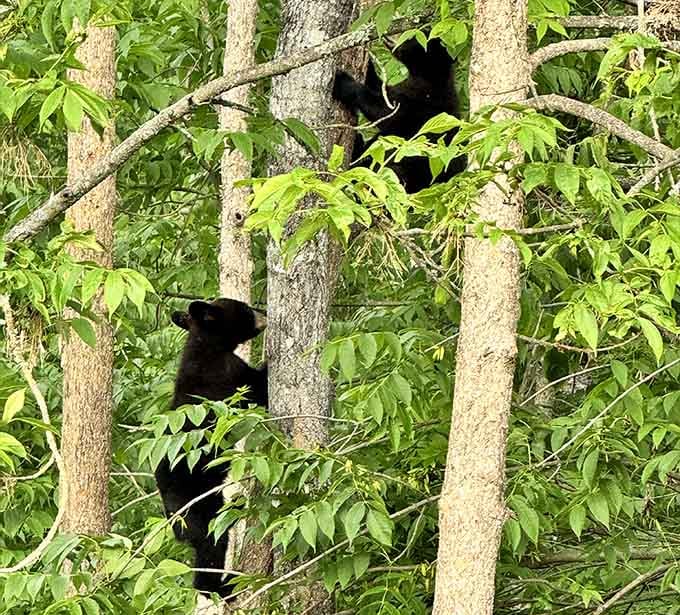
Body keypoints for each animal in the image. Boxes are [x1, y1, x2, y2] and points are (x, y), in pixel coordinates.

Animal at [154, 298, 267, 597]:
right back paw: (222, 587)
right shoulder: (227, 375)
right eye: (245, 310)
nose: (265, 316)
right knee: (212, 543)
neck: (207, 344)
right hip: (197, 508)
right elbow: (256, 388)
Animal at [332, 37, 465, 192]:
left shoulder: (420, 104)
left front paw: (344, 84)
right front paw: (368, 63)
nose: (390, 39)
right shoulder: (403, 90)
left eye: (410, 38)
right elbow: (382, 89)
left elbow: (386, 113)